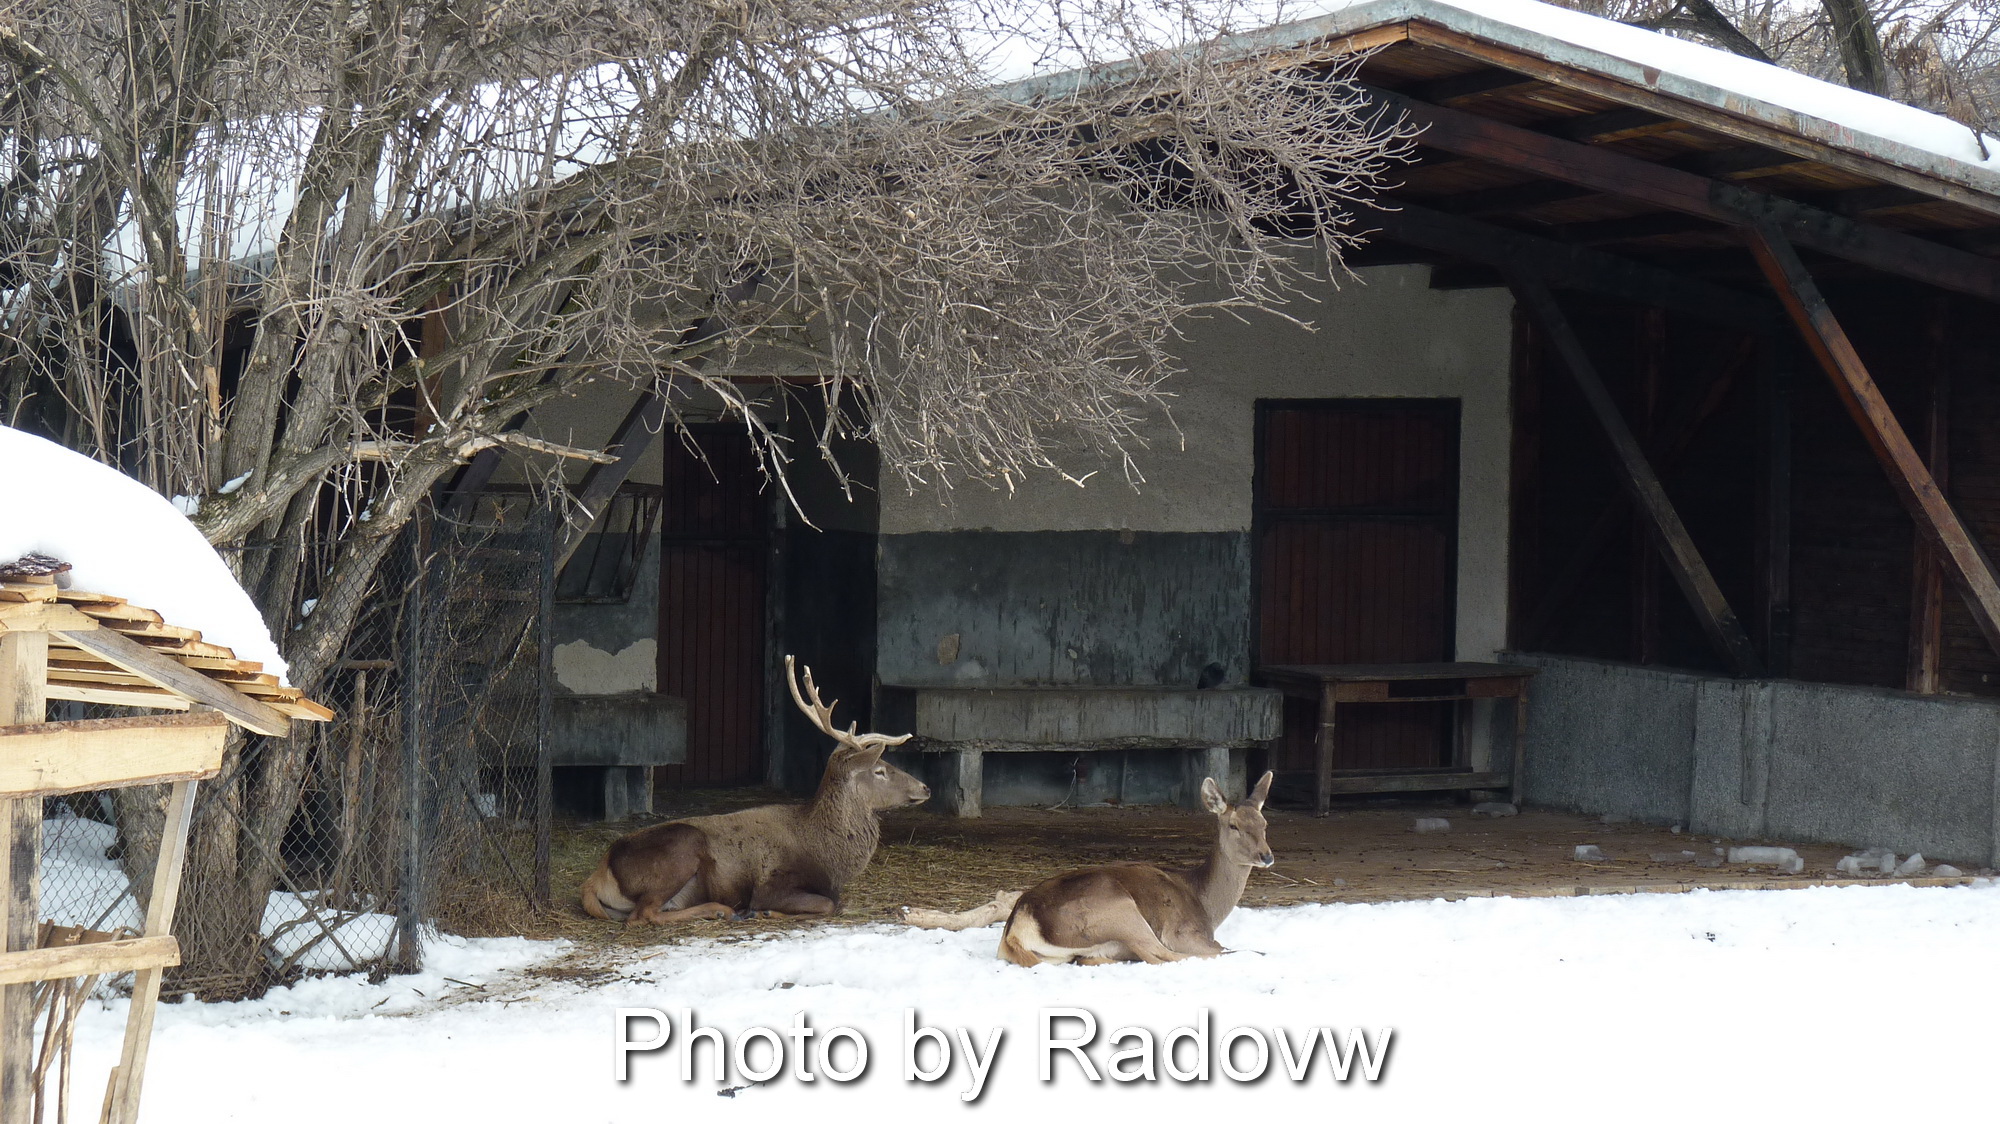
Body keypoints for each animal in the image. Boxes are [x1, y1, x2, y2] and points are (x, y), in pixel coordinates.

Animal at [580, 656, 931, 925]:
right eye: (880, 770)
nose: (925, 787)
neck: (828, 855)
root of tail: (599, 873)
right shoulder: (772, 883)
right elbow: (829, 904)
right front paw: (765, 913)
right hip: (680, 850)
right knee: (642, 915)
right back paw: (722, 911)